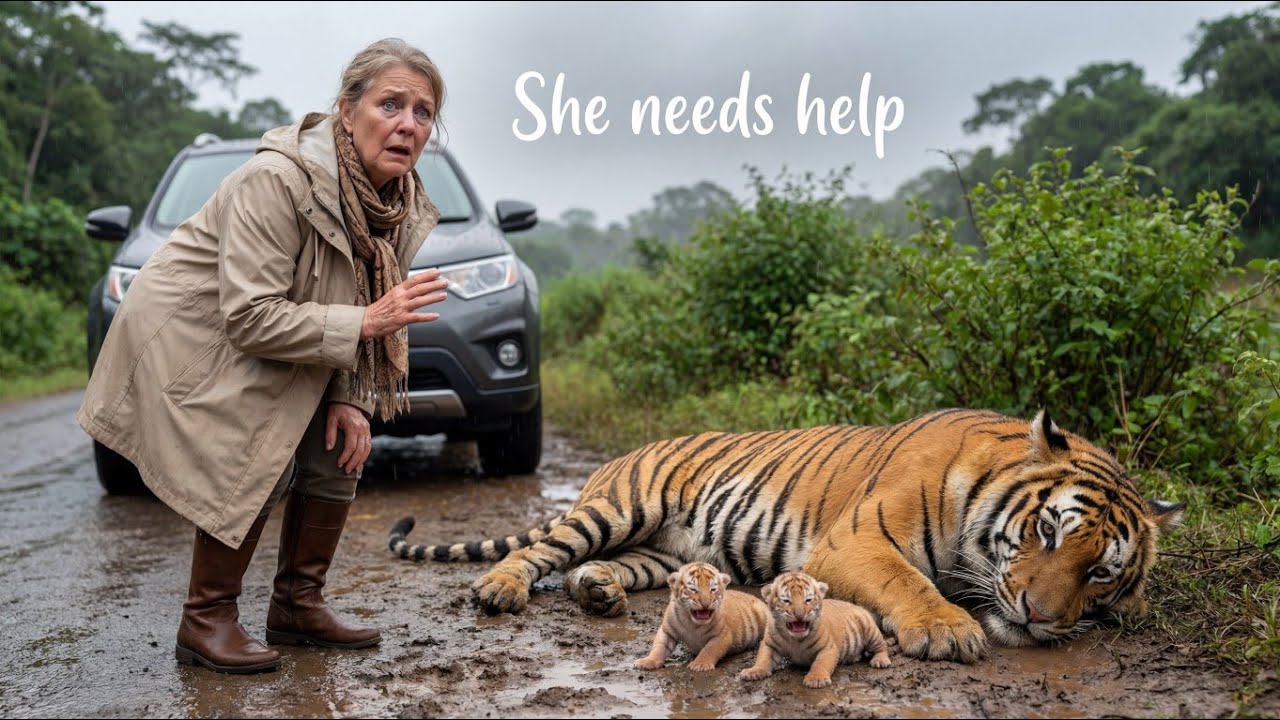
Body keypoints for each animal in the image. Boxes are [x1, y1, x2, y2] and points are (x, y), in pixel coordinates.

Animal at [634, 561, 769, 672]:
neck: (692, 623)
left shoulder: (721, 635)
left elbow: (709, 649)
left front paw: (700, 665)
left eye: (713, 589)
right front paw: (648, 661)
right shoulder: (667, 631)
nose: (705, 603)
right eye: (693, 589)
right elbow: (659, 647)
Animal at [739, 571, 890, 688]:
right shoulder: (769, 644)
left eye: (808, 600)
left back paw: (880, 661)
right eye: (786, 601)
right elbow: (763, 658)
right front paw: (754, 671)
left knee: (881, 647)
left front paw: (816, 679)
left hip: (871, 631)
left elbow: (820, 664)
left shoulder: (828, 648)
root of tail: (858, 607)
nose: (799, 615)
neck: (795, 640)